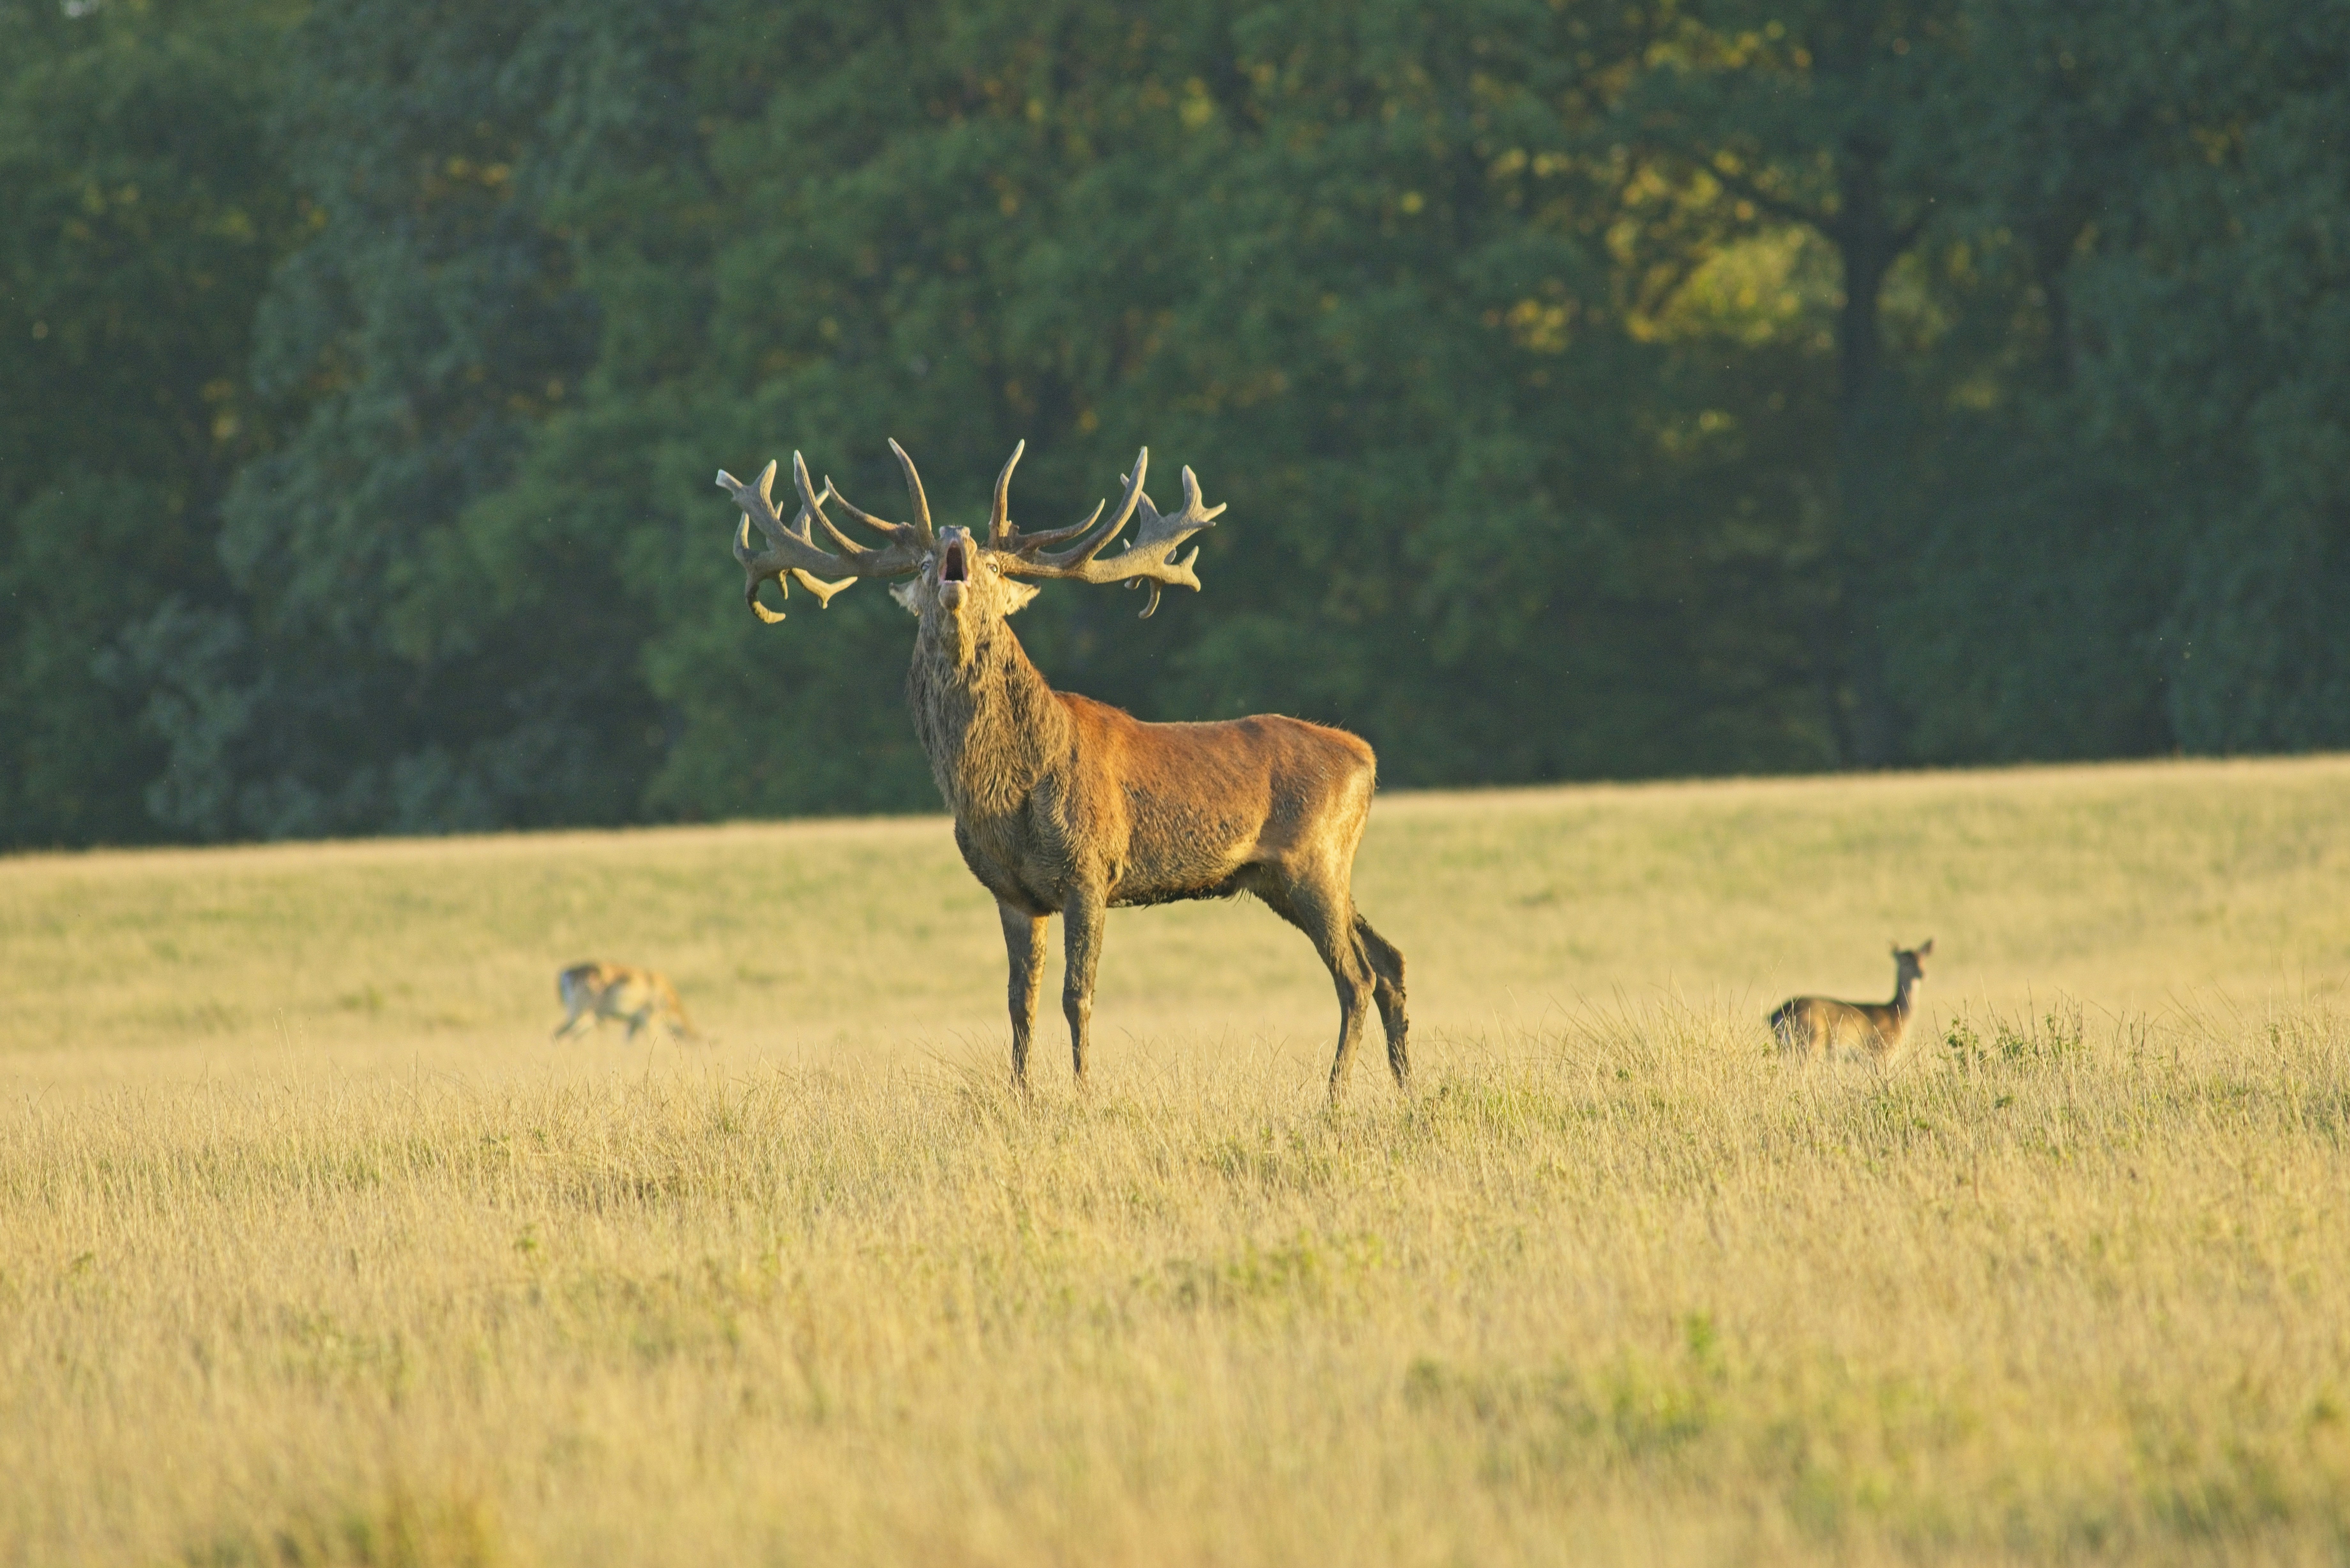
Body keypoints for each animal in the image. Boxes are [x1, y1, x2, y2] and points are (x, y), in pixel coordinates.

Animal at [714, 439, 1408, 1097]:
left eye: (994, 565)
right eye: (923, 564)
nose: (955, 540)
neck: (1004, 793)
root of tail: (1367, 758)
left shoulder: (1090, 867)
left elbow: (1078, 997)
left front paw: (1082, 1093)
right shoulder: (1011, 890)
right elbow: (1019, 1003)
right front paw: (1021, 1095)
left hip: (1312, 860)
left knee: (1355, 975)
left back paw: (1334, 1097)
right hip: (1283, 876)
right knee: (1389, 960)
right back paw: (1403, 1088)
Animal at [1769, 940, 1933, 1062]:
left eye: (1923, 959)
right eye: (1905, 961)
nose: (1923, 973)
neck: (1898, 1015)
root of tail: (1778, 1014)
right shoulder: (1881, 1052)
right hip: (1810, 1042)